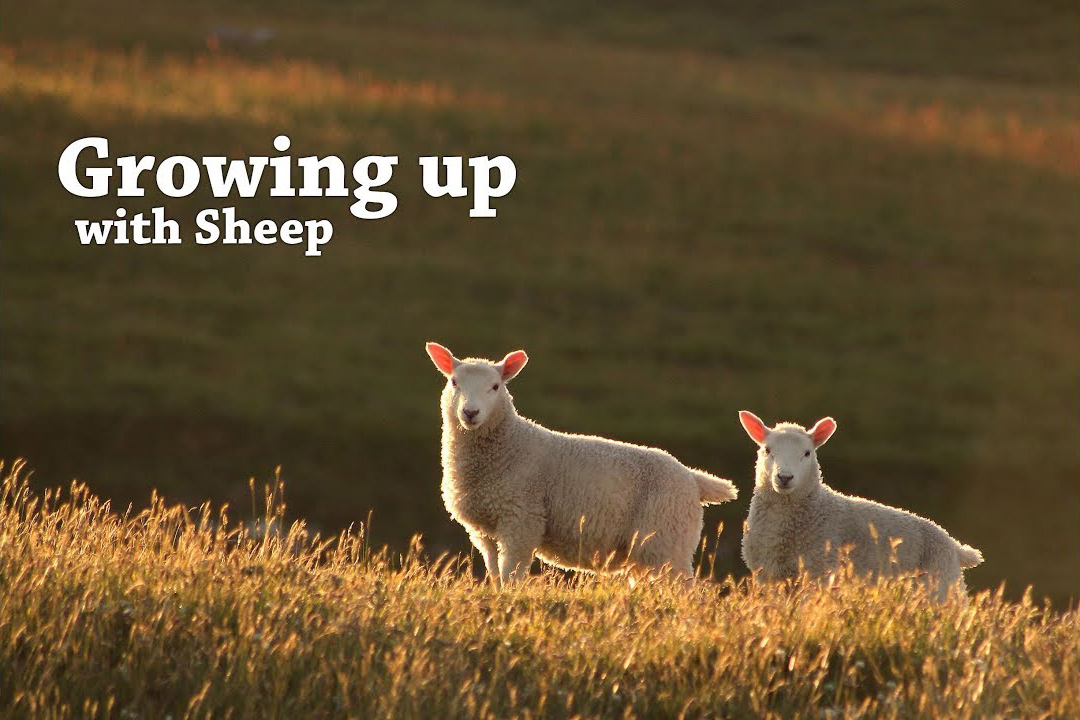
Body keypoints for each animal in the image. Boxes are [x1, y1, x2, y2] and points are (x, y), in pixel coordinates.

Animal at [425, 342, 738, 586]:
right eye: (454, 382)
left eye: (495, 386)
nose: (470, 413)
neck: (509, 446)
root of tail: (694, 478)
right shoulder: (484, 529)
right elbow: (495, 573)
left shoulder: (522, 519)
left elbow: (511, 573)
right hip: (649, 548)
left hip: (667, 539)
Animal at [737, 411, 983, 602]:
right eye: (767, 450)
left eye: (807, 453)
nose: (784, 477)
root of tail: (955, 546)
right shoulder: (770, 576)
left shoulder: (819, 573)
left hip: (943, 586)